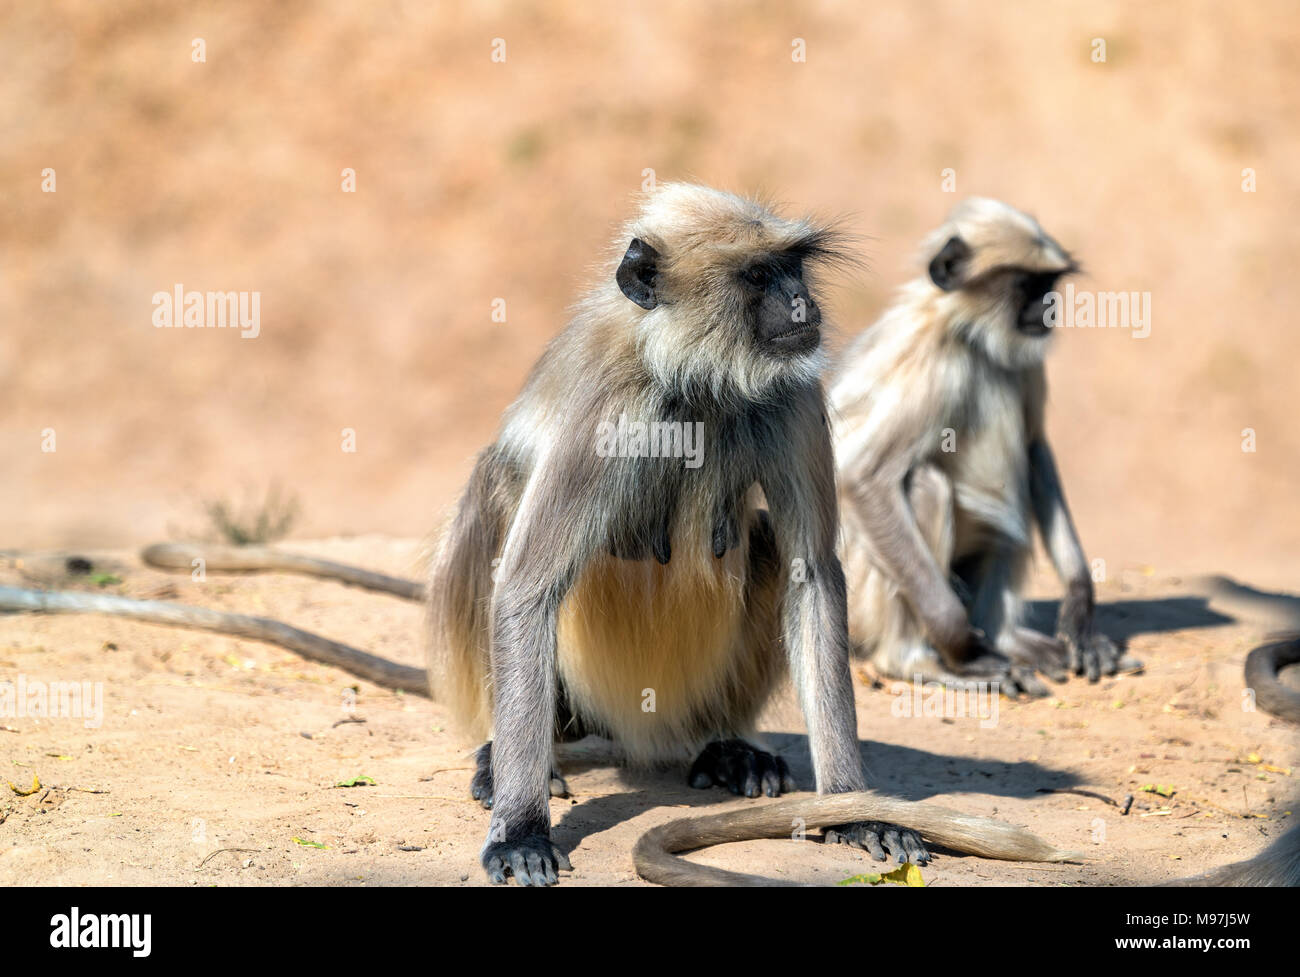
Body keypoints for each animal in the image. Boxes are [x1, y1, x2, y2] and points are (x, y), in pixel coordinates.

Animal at [830, 198, 1134, 696]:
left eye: (1050, 284)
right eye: (1026, 285)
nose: (1050, 307)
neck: (970, 335)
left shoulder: (1026, 359)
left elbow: (1034, 447)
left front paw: (1079, 608)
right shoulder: (932, 359)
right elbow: (863, 478)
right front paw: (963, 647)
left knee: (1011, 503)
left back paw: (1006, 639)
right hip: (857, 592)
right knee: (925, 484)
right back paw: (920, 660)